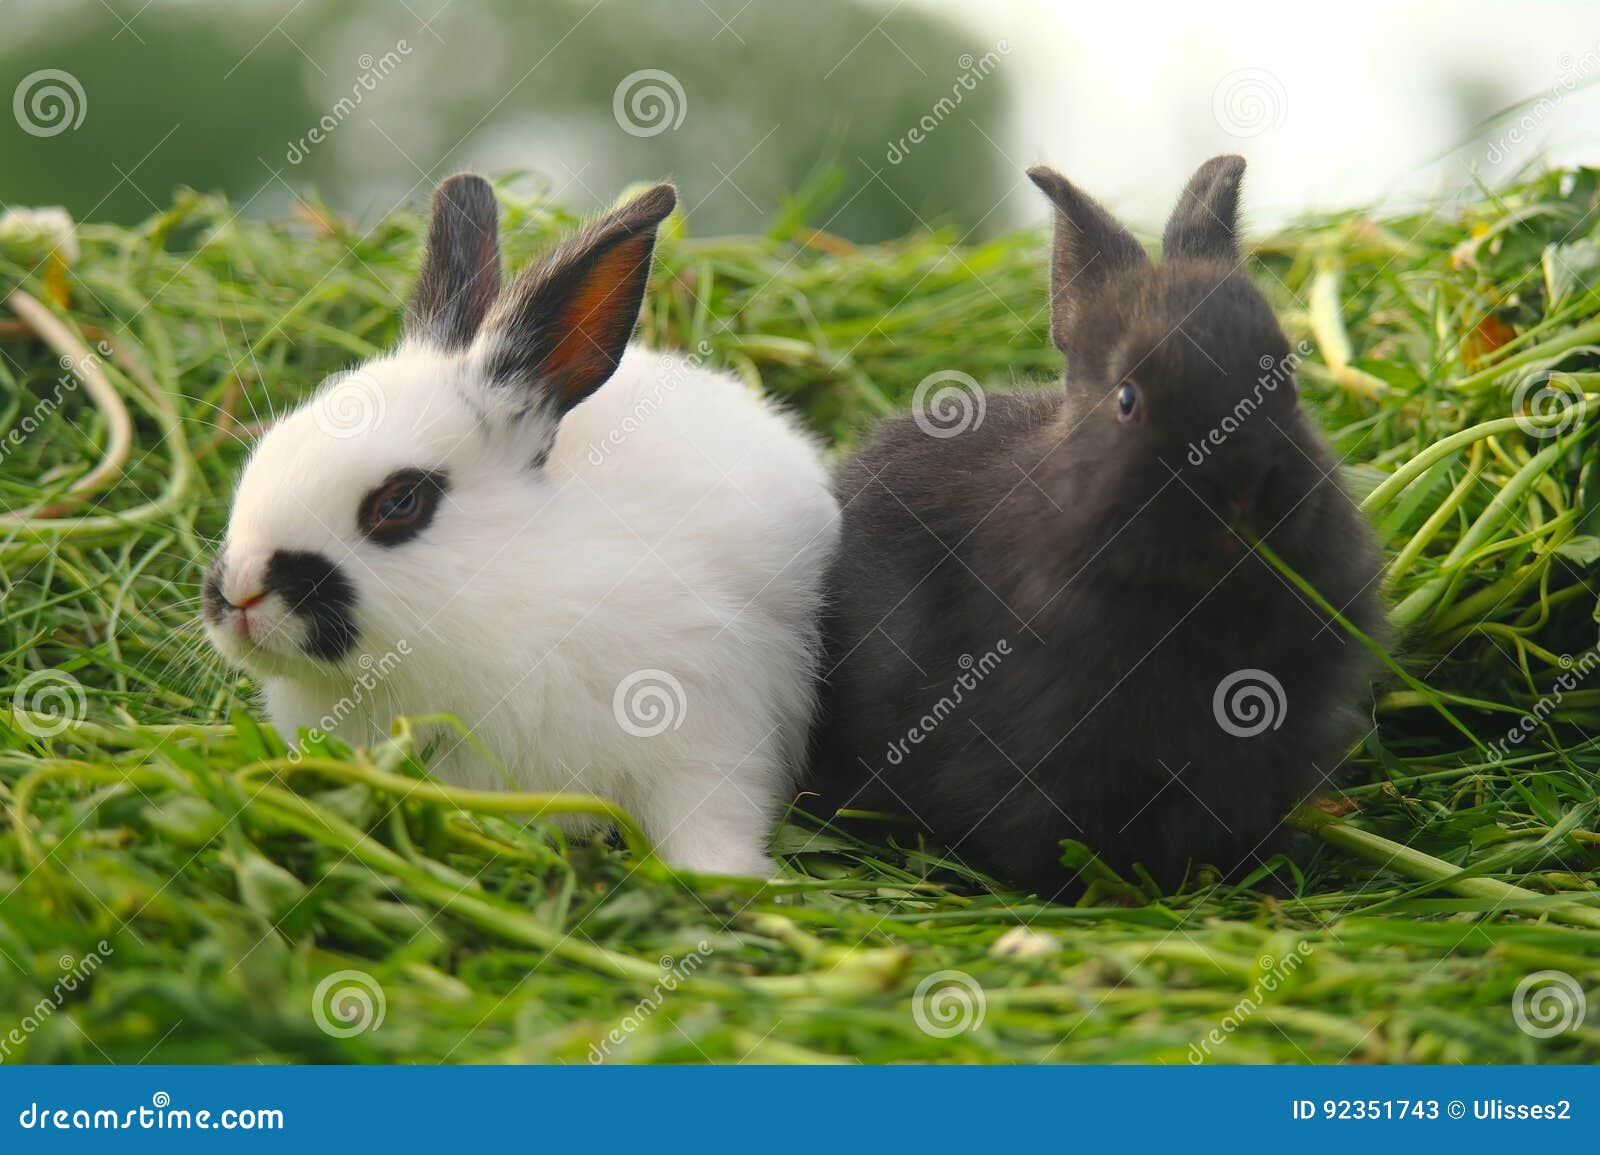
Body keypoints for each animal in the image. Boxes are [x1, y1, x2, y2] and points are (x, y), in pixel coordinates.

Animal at [202, 174, 840, 878]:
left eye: (399, 503)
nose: (238, 594)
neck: (509, 590)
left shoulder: (707, 729)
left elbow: (712, 816)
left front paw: (729, 877)